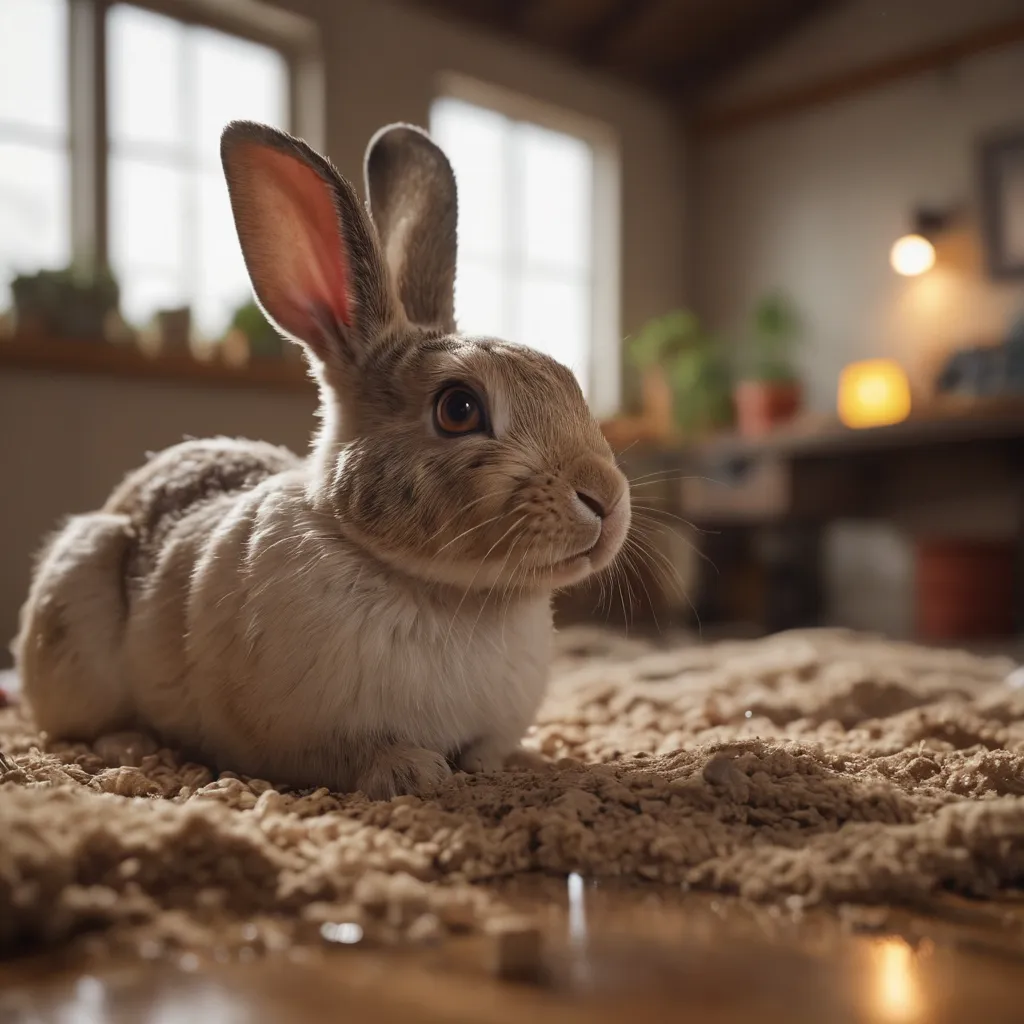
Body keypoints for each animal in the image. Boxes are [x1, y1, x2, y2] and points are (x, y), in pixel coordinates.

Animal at [13, 120, 631, 800]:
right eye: (459, 408)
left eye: (569, 382)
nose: (605, 498)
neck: (442, 589)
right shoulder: (297, 738)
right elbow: (354, 755)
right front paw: (414, 773)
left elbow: (487, 749)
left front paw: (494, 766)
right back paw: (129, 744)